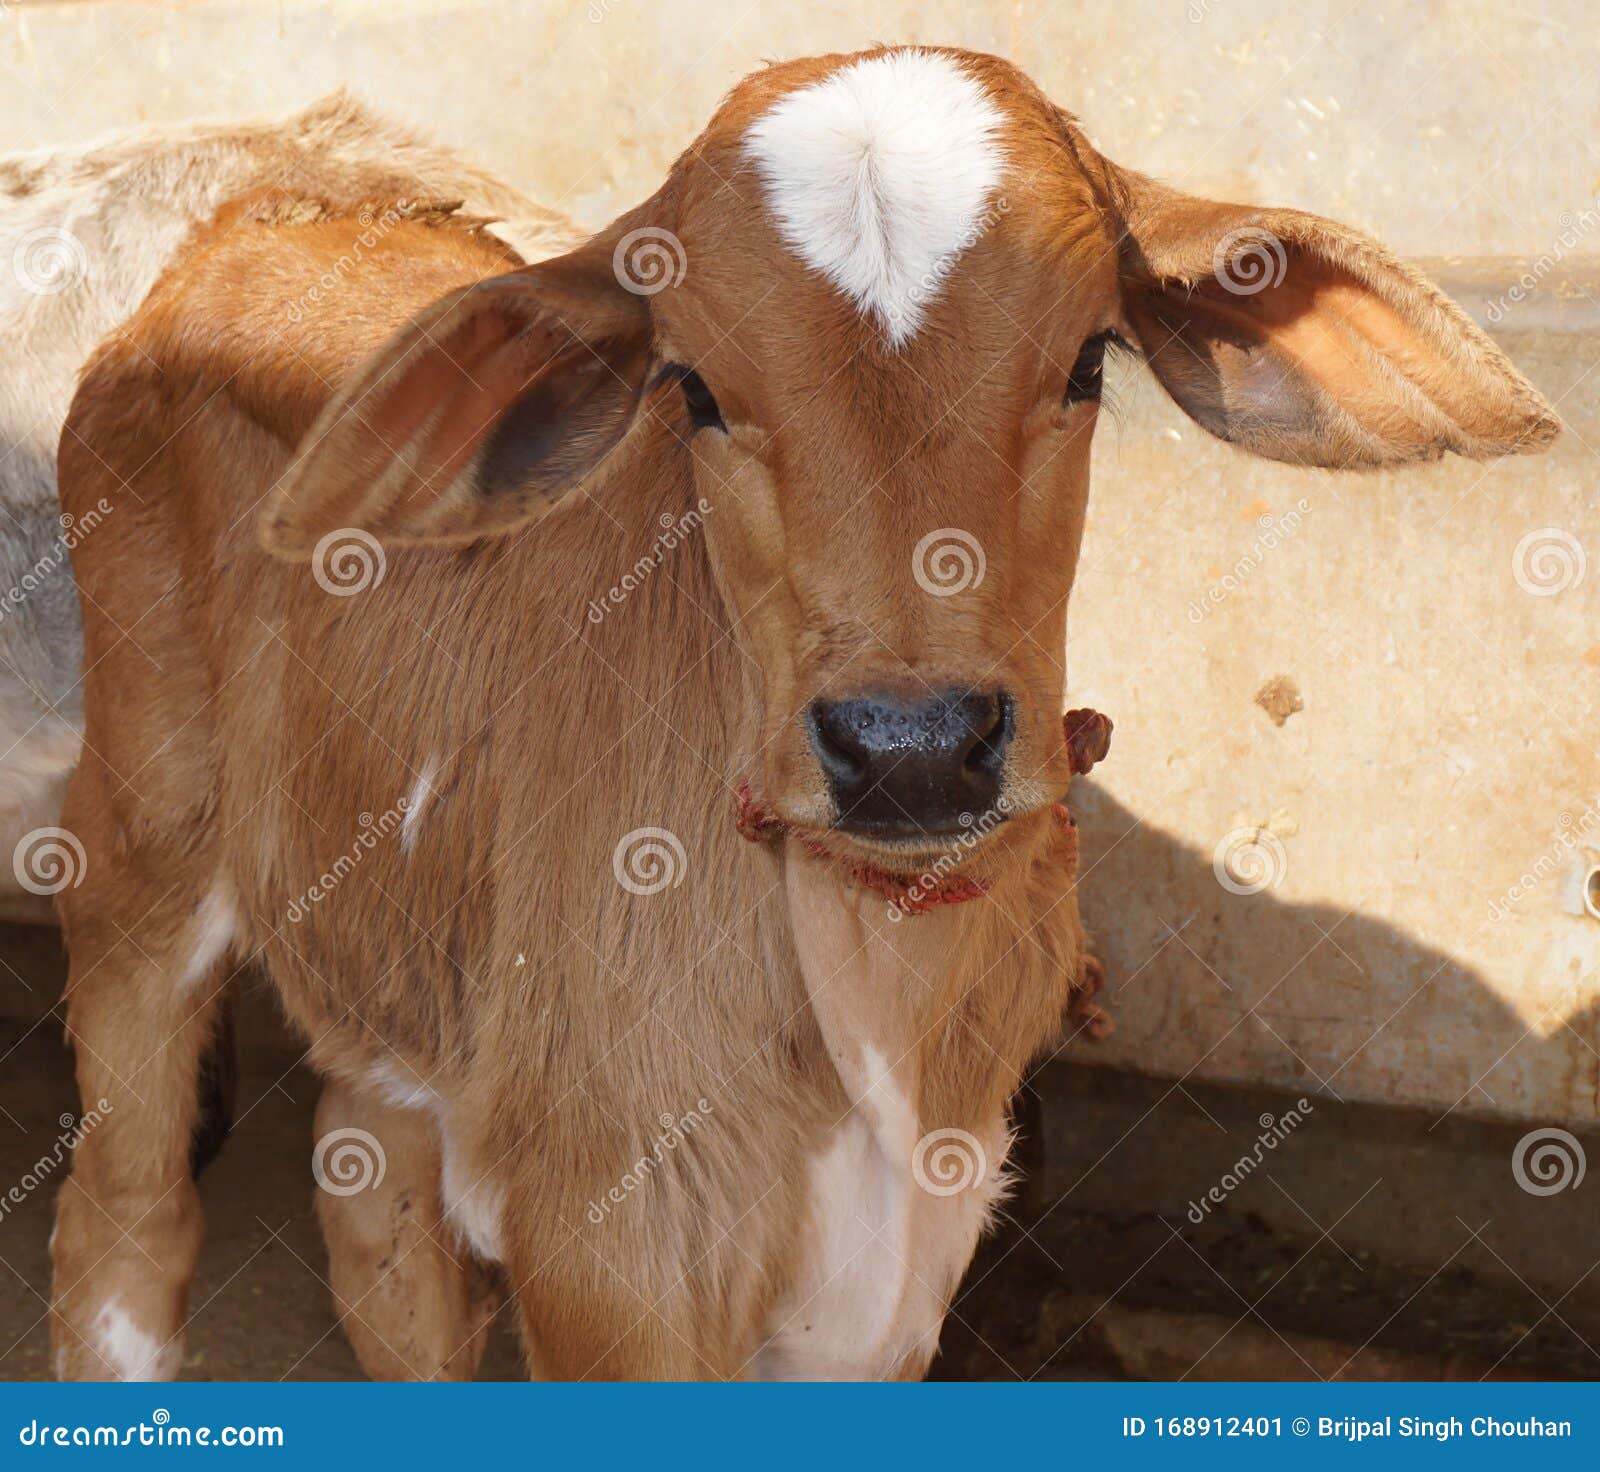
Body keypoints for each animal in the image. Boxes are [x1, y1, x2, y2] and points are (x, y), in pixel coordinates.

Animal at [49, 45, 1556, 1380]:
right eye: (698, 389)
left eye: (1087, 363)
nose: (914, 749)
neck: (872, 1005)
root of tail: (259, 211)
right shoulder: (610, 1253)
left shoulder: (899, 1270)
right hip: (138, 846)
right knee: (123, 1217)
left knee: (377, 1227)